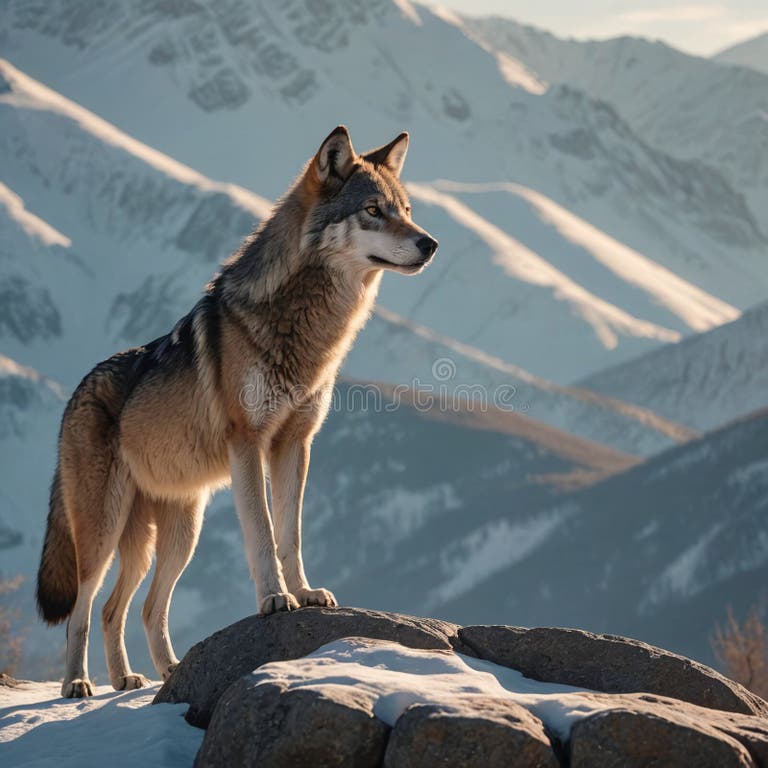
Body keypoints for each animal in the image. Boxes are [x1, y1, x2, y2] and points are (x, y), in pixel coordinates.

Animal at [36, 126, 438, 698]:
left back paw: (150, 676)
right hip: (104, 530)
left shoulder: (295, 445)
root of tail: (75, 394)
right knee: (83, 609)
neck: (309, 334)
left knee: (133, 609)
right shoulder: (249, 443)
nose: (430, 243)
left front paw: (305, 593)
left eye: (406, 210)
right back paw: (78, 684)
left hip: (177, 535)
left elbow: (291, 534)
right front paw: (273, 599)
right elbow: (263, 533)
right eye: (373, 210)